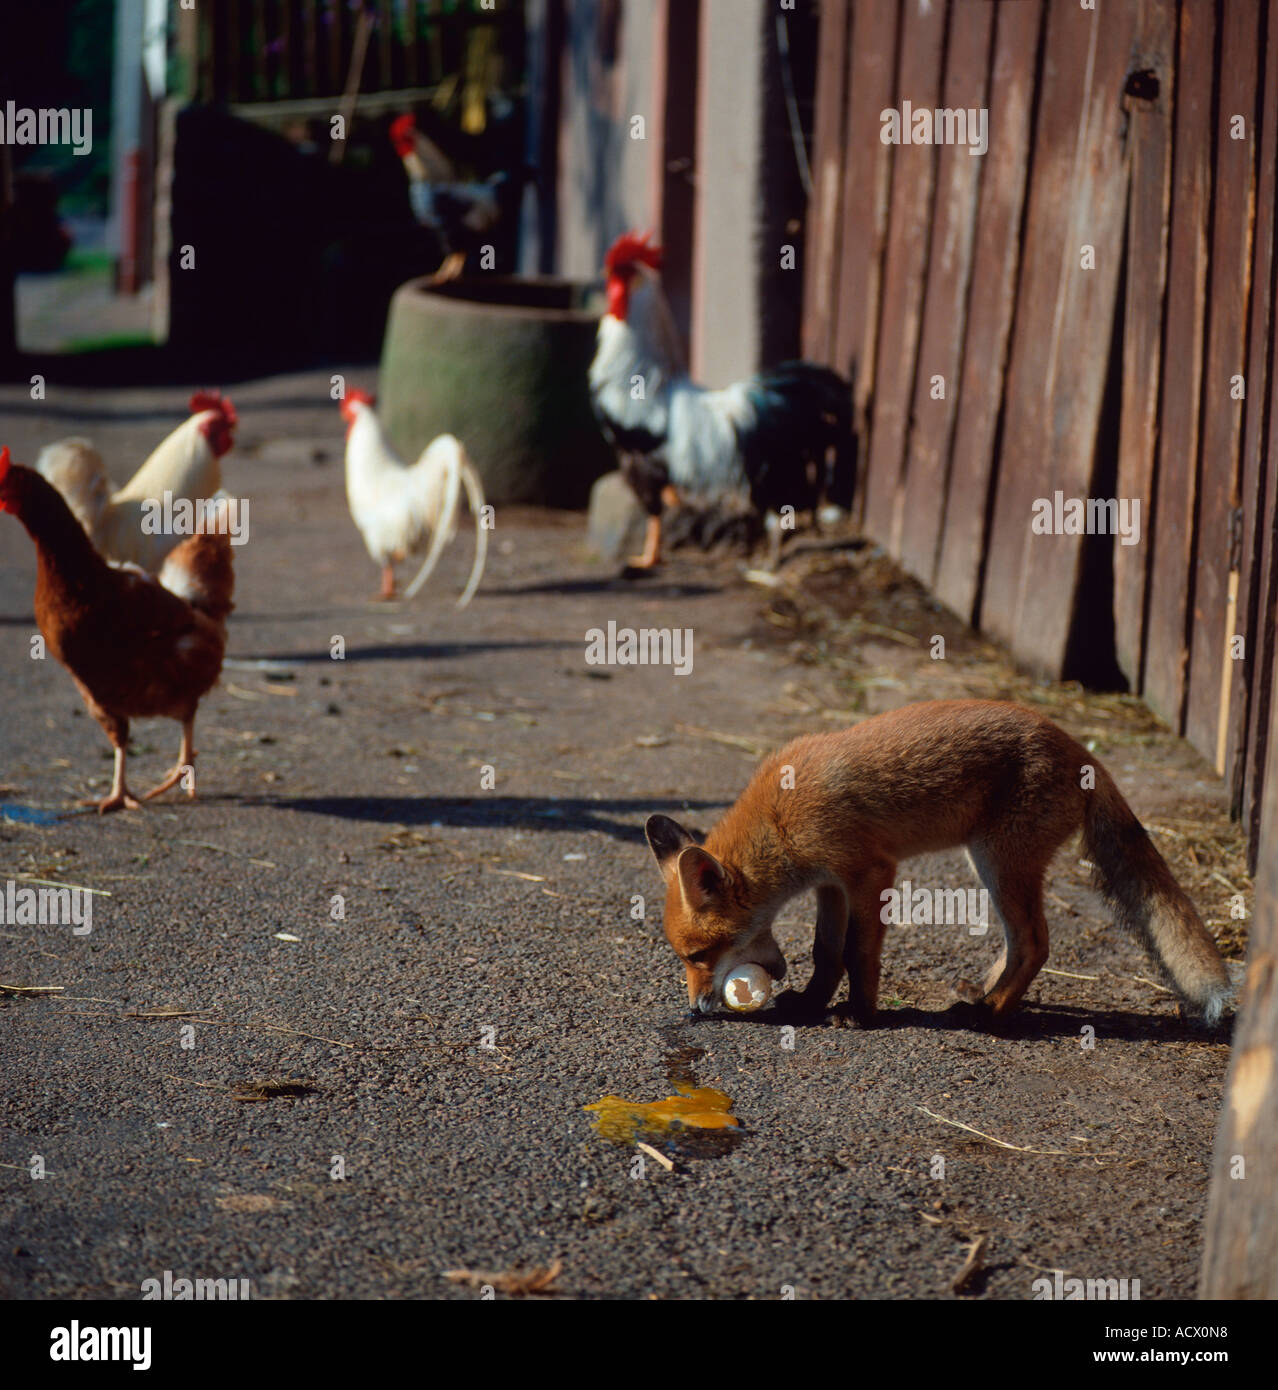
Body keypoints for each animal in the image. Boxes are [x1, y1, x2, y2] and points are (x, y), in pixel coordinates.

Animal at [644, 700, 1231, 1026]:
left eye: (698, 956)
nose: (694, 1010)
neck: (781, 820)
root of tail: (1084, 751)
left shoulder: (871, 873)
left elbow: (858, 954)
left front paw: (860, 1015)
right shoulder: (832, 885)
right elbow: (825, 953)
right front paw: (811, 1005)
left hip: (1001, 862)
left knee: (1037, 943)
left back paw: (993, 1015)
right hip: (987, 864)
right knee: (1018, 942)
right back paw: (985, 995)